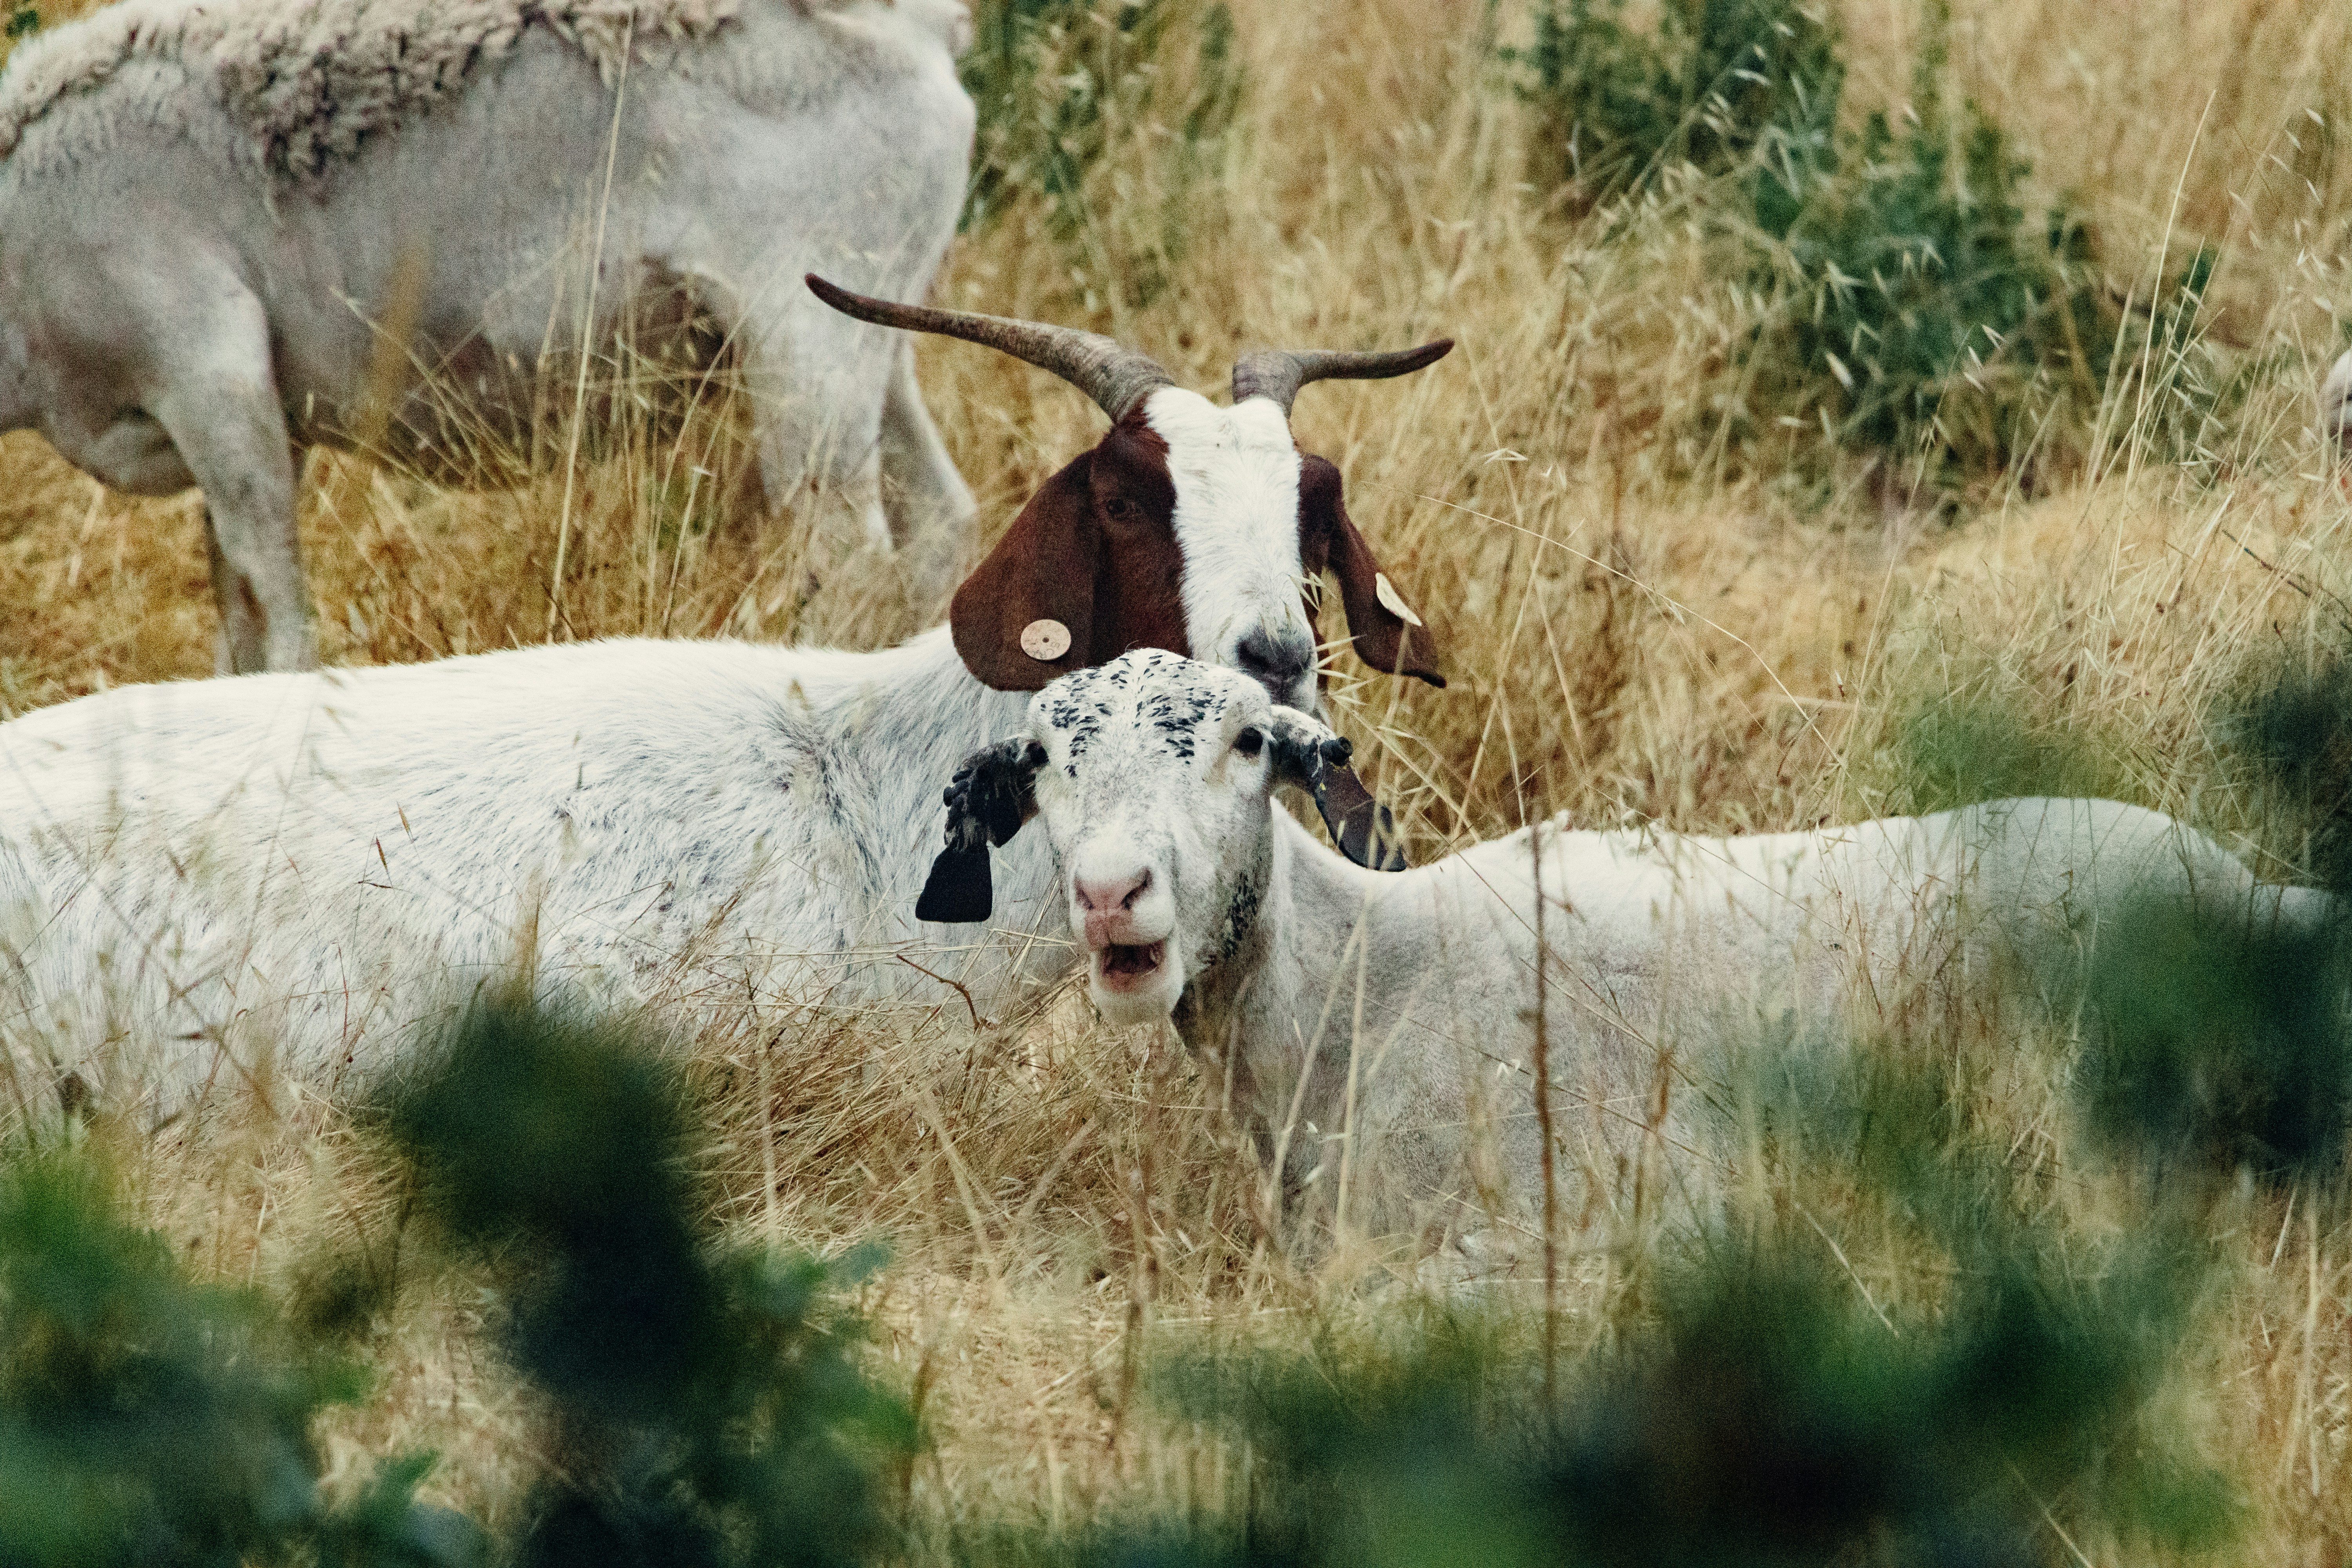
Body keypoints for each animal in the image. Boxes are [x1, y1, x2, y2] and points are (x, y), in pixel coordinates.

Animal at [0, 0, 980, 672]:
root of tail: (922, 30)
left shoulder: (211, 373)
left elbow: (276, 623)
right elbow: (237, 622)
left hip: (804, 338)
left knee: (849, 561)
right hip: (871, 329)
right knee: (940, 522)